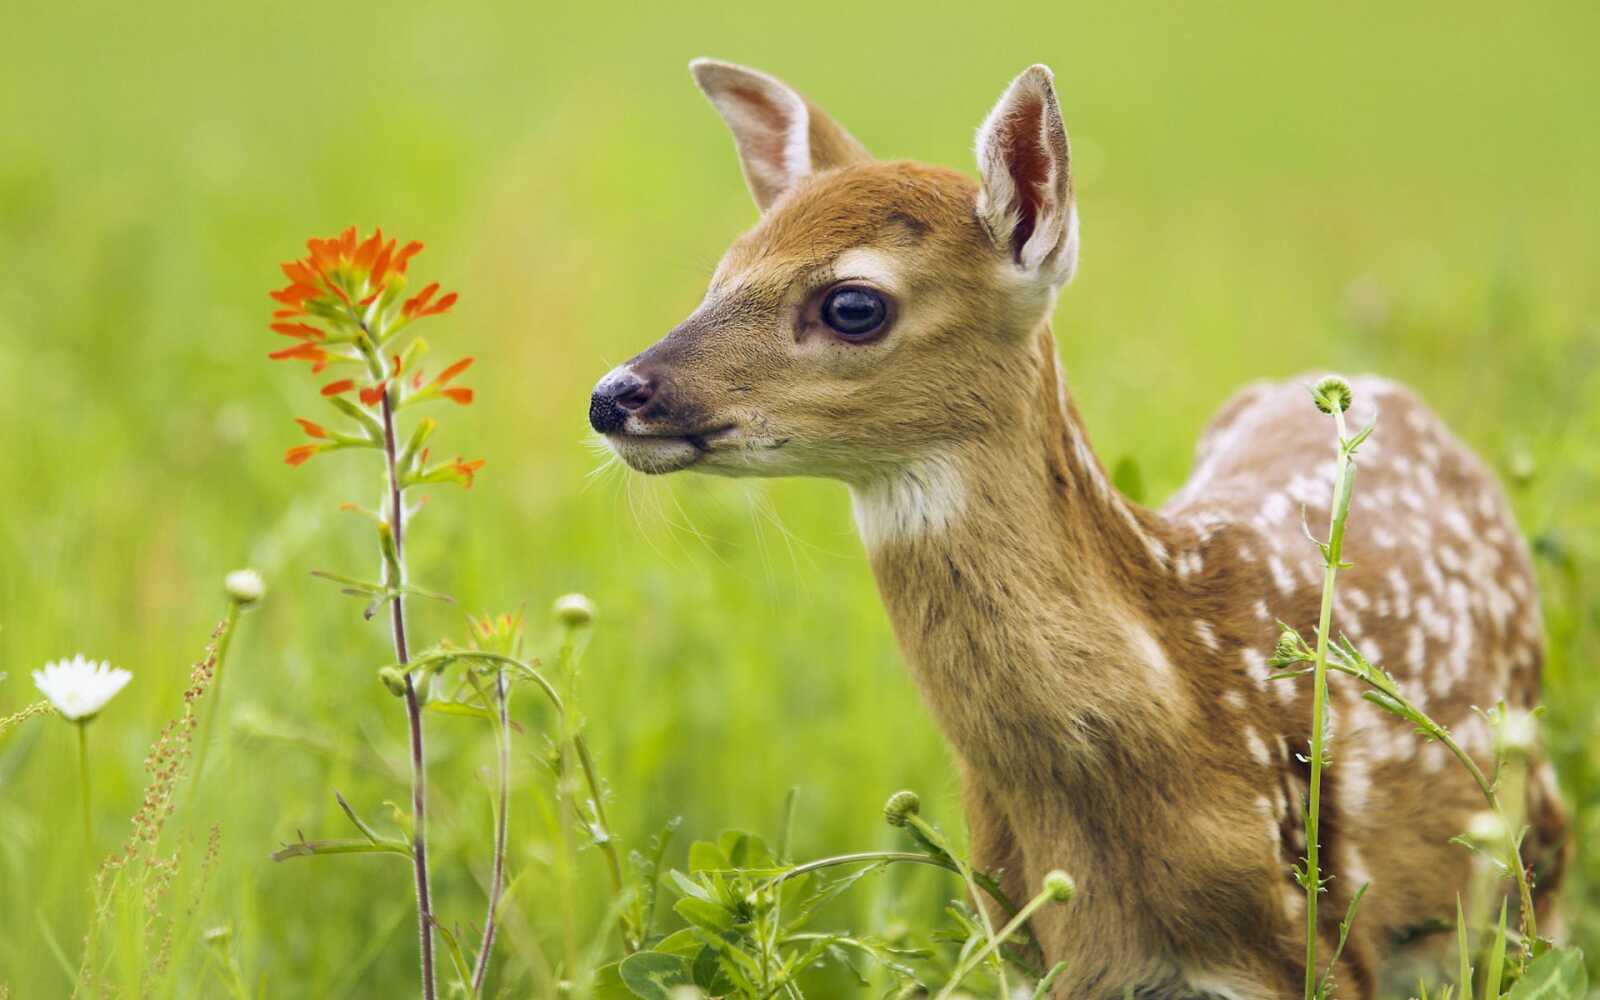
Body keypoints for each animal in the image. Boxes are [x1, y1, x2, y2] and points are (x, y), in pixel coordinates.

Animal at [586, 60, 1568, 998]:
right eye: (725, 271)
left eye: (852, 304)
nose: (615, 395)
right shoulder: (1029, 948)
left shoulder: (1313, 946)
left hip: (1535, 862)